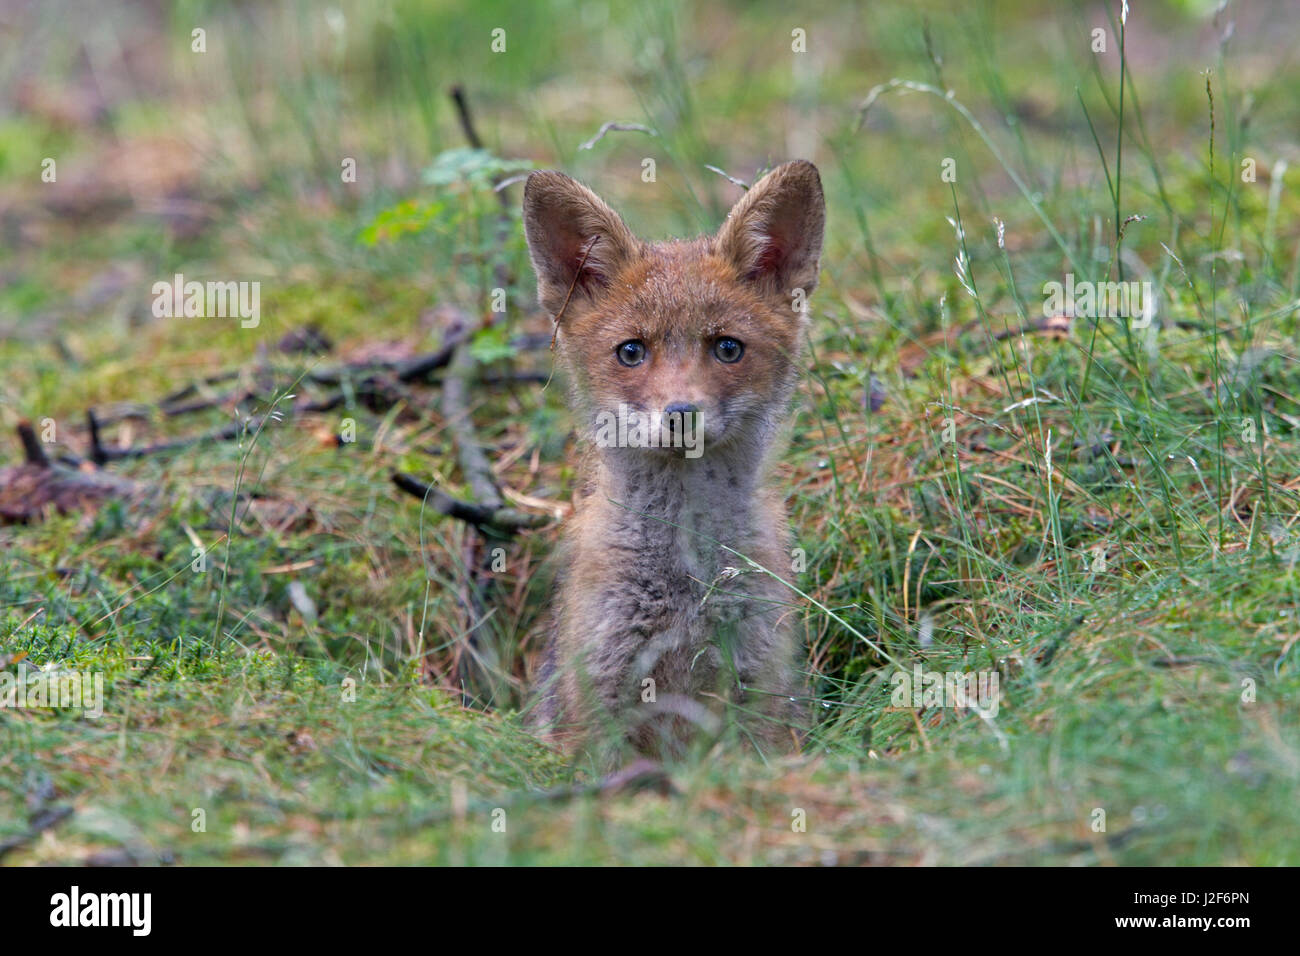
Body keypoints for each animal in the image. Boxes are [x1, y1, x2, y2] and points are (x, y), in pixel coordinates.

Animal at [522, 160, 825, 760]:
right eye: (631, 352)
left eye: (727, 348)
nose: (681, 414)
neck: (684, 589)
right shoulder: (600, 704)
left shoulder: (759, 691)